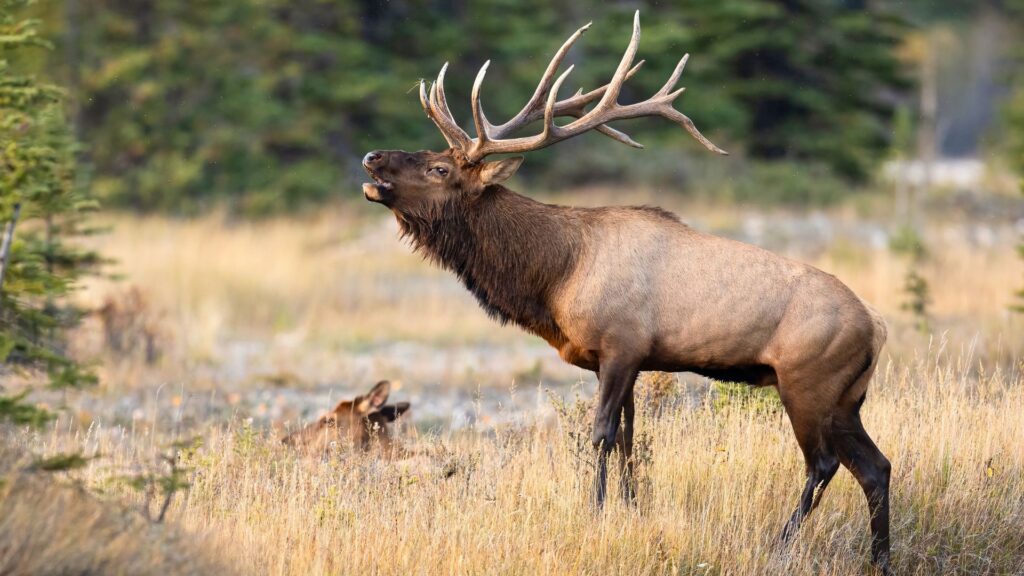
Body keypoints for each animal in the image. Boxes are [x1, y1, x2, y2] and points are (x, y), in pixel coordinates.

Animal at [359, 12, 892, 573]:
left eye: (439, 167)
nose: (372, 157)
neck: (557, 276)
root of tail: (877, 326)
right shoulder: (624, 359)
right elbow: (630, 442)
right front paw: (632, 509)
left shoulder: (621, 346)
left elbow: (601, 436)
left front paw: (594, 513)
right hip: (847, 398)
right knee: (876, 466)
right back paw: (879, 558)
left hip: (808, 382)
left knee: (825, 464)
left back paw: (781, 543)